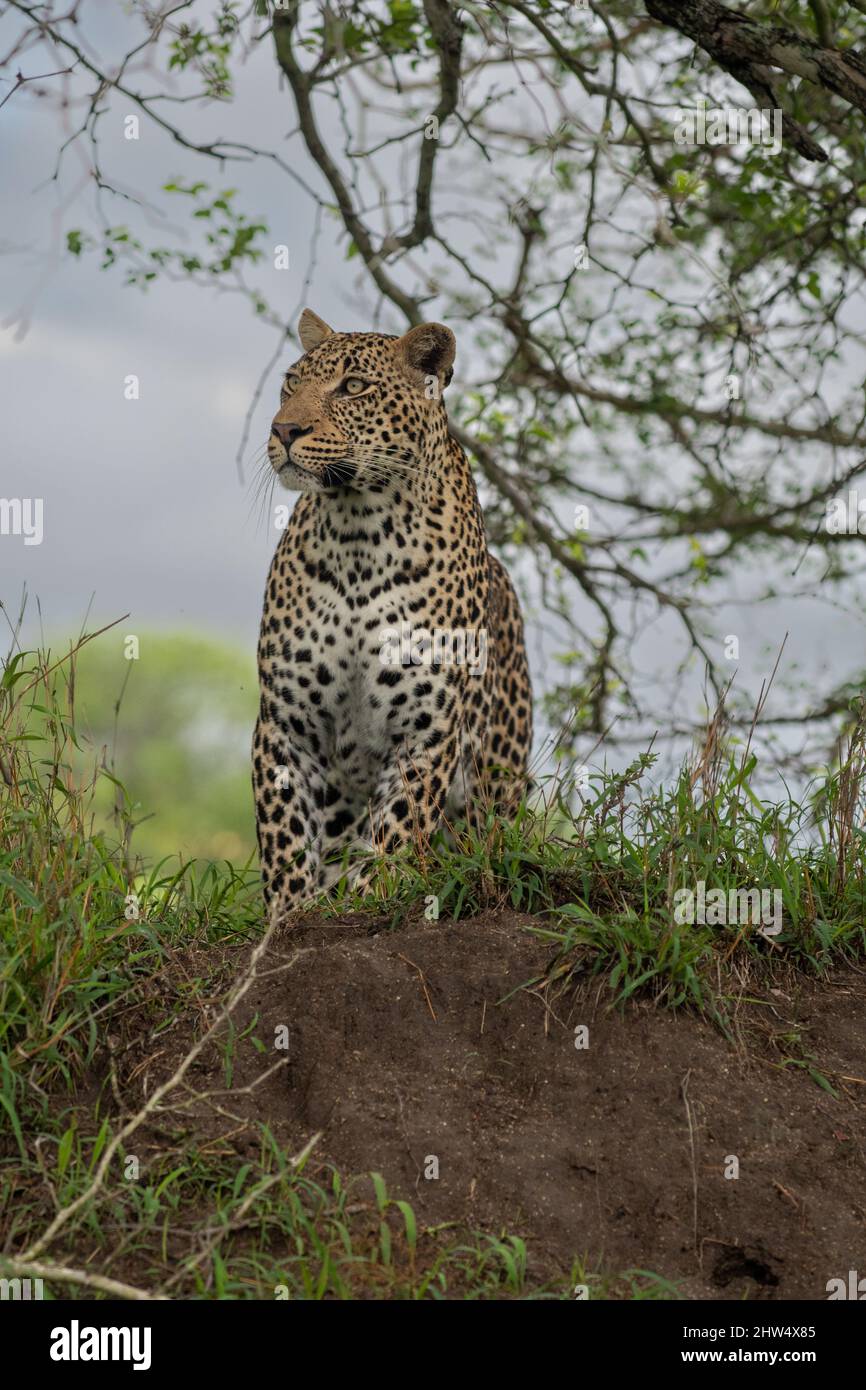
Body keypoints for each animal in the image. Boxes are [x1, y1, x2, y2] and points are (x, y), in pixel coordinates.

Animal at [252, 307, 532, 919]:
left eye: (353, 387)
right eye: (291, 383)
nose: (284, 430)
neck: (360, 531)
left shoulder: (427, 724)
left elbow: (398, 825)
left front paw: (368, 898)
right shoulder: (286, 721)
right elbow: (284, 829)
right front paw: (289, 913)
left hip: (496, 781)